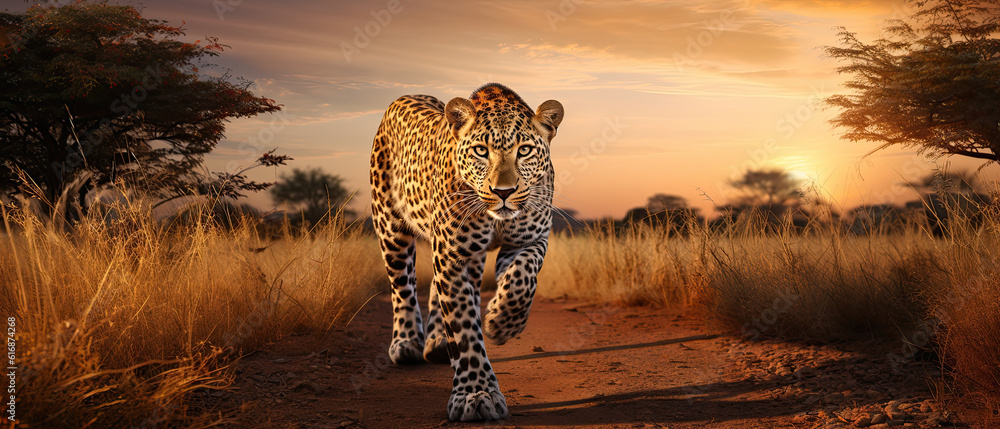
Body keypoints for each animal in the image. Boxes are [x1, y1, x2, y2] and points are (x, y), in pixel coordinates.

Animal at [369, 83, 564, 421]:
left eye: (524, 150)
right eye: (481, 151)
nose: (503, 192)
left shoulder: (529, 240)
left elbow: (522, 279)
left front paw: (502, 322)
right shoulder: (452, 254)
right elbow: (463, 326)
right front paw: (476, 394)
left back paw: (436, 342)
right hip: (390, 228)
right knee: (402, 286)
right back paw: (407, 342)